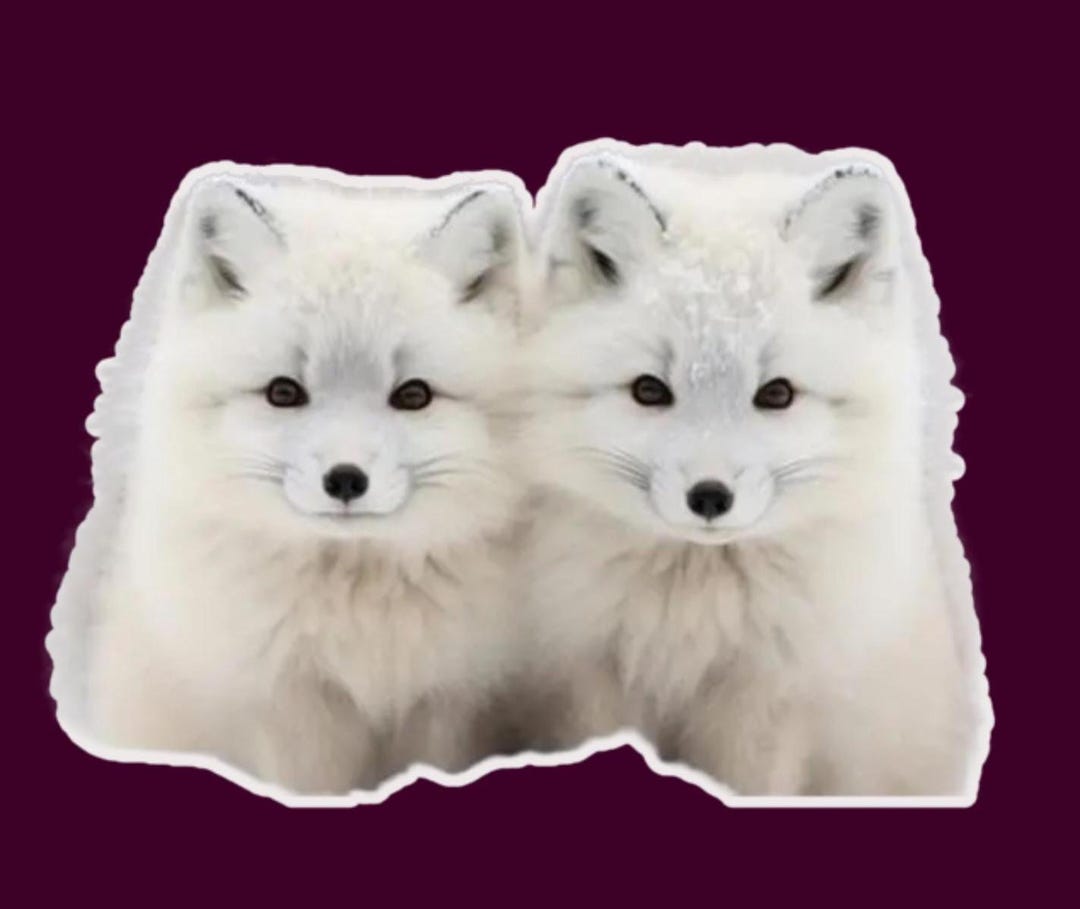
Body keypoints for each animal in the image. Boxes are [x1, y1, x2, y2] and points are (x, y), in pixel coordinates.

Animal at [82, 171, 529, 794]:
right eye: (283, 392)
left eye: (413, 395)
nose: (345, 480)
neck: (360, 605)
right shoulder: (289, 704)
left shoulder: (448, 697)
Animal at [518, 152, 984, 795]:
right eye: (649, 390)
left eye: (777, 394)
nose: (710, 497)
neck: (691, 609)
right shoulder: (587, 675)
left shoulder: (767, 699)